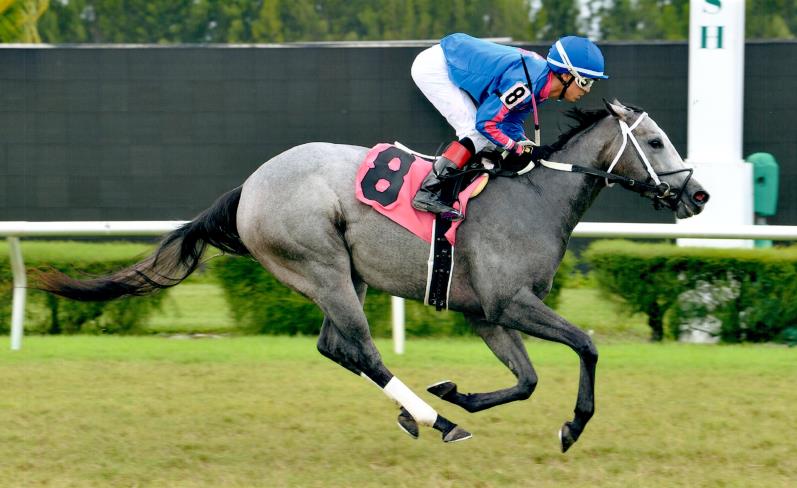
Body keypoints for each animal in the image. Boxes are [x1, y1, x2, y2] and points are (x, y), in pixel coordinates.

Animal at [37, 99, 709, 452]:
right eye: (655, 141)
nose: (698, 194)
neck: (534, 197)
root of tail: (248, 188)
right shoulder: (509, 303)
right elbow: (586, 346)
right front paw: (572, 426)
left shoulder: (485, 313)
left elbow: (526, 381)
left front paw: (456, 391)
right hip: (321, 263)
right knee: (359, 347)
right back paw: (438, 422)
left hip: (344, 277)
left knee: (335, 346)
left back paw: (422, 412)